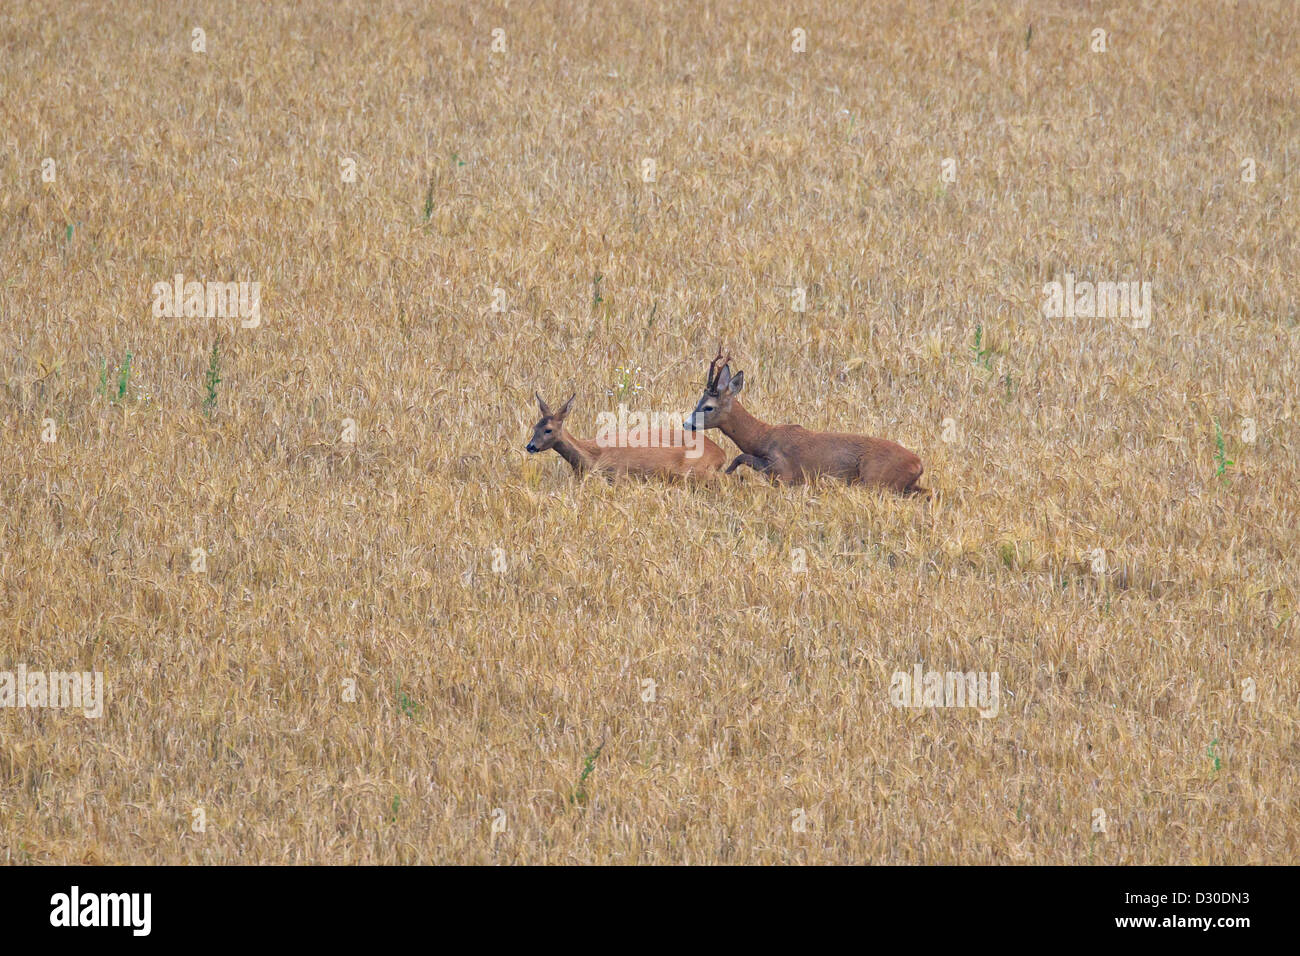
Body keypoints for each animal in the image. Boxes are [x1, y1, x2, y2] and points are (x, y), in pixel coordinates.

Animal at [526, 392, 727, 479]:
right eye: (535, 427)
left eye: (548, 429)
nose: (530, 446)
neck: (591, 455)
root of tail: (721, 455)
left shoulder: (618, 475)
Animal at [683, 347, 927, 495]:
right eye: (699, 400)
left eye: (708, 406)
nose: (686, 423)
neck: (763, 436)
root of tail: (918, 464)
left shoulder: (783, 470)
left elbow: (741, 457)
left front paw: (727, 474)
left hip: (874, 480)